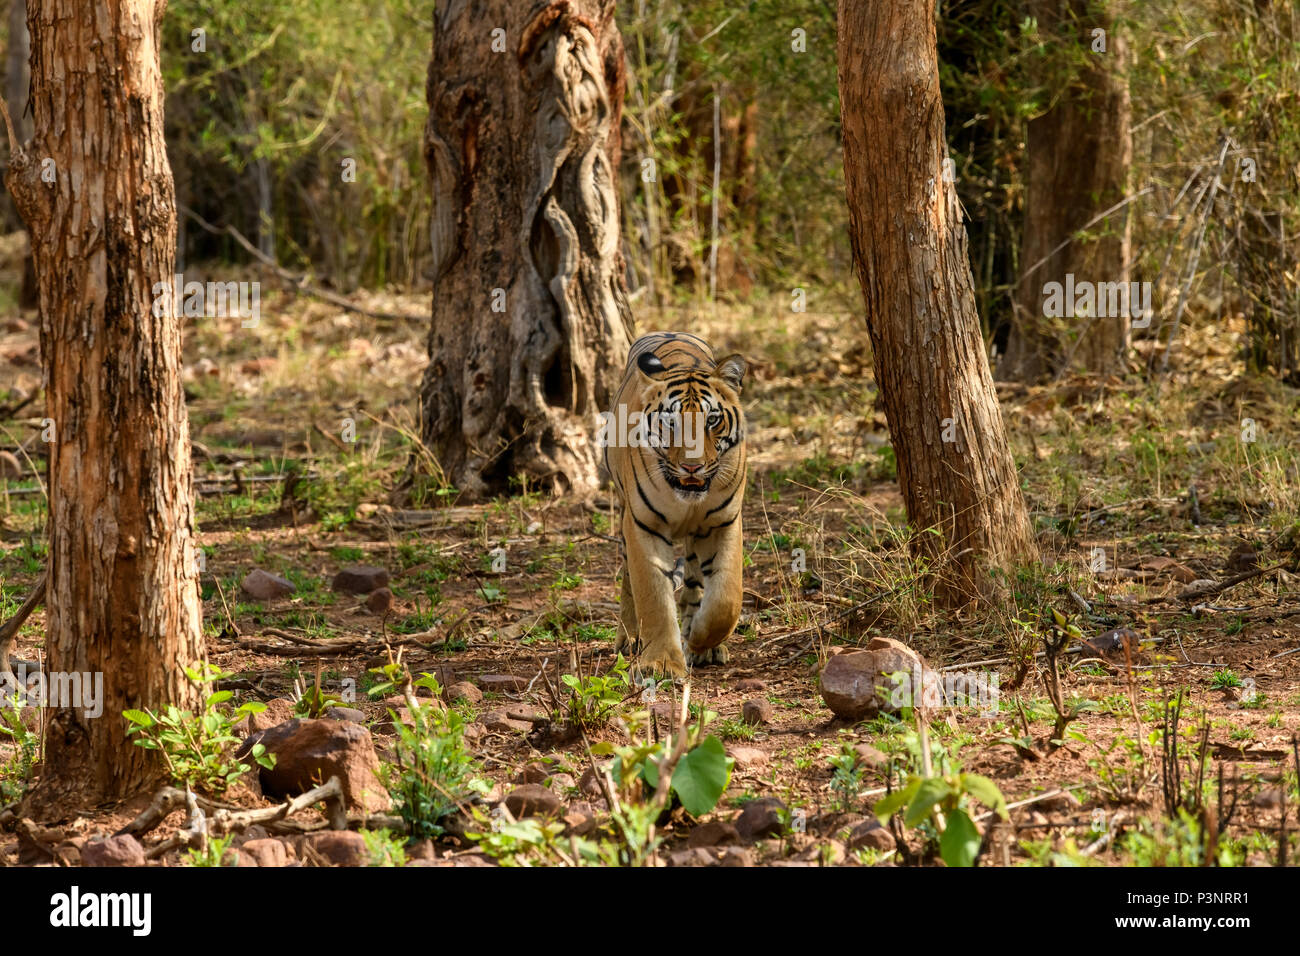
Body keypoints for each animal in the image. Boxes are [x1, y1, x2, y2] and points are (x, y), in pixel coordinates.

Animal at [600, 331, 747, 677]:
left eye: (712, 420)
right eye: (670, 423)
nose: (692, 467)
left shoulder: (724, 522)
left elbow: (726, 599)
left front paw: (700, 641)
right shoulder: (645, 526)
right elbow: (652, 597)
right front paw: (662, 664)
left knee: (695, 579)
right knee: (628, 581)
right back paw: (629, 638)